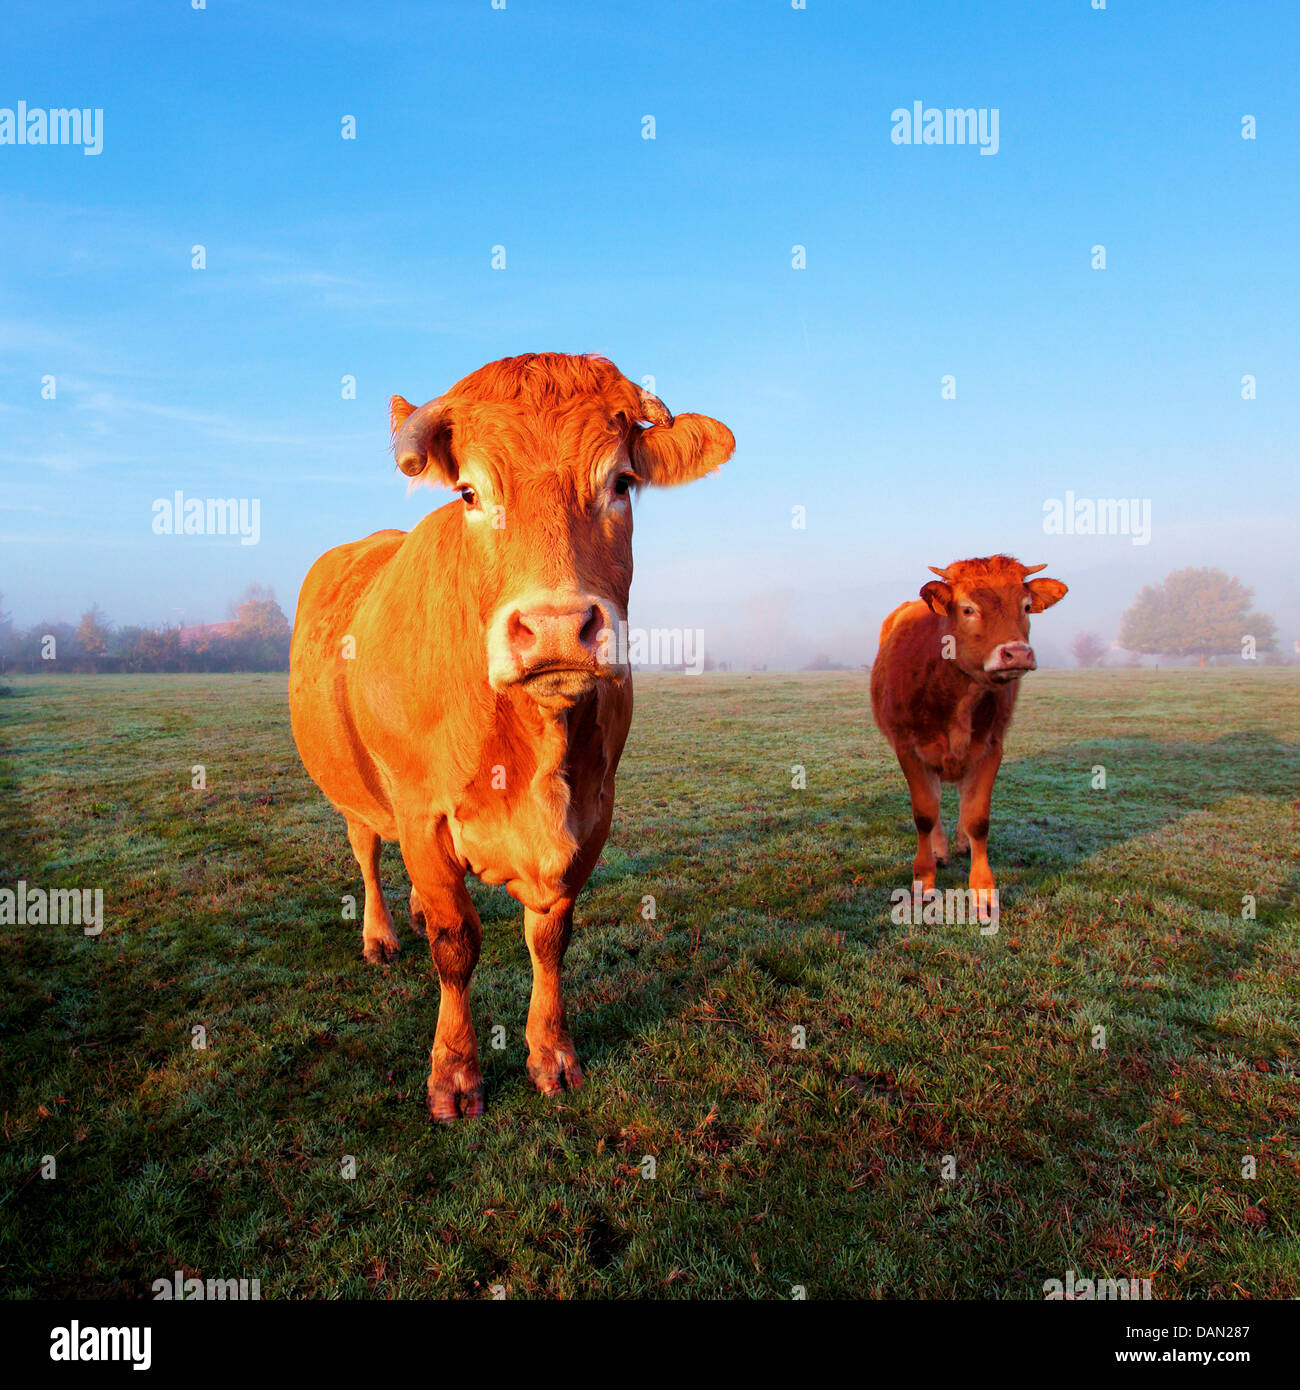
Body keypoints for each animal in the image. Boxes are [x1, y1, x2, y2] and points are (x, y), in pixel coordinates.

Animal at [289, 353, 734, 1120]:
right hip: (357, 789)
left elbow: (550, 938)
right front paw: (454, 1071)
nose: (556, 627)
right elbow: (456, 944)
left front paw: (551, 1053)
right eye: (469, 492)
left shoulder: (593, 813)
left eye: (621, 483)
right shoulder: (422, 812)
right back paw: (381, 933)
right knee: (368, 852)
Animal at [870, 555, 1068, 918]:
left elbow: (978, 818)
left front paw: (984, 892)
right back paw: (940, 850)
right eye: (967, 609)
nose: (1017, 653)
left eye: (1026, 606)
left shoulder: (991, 748)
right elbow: (924, 814)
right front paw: (923, 882)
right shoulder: (909, 750)